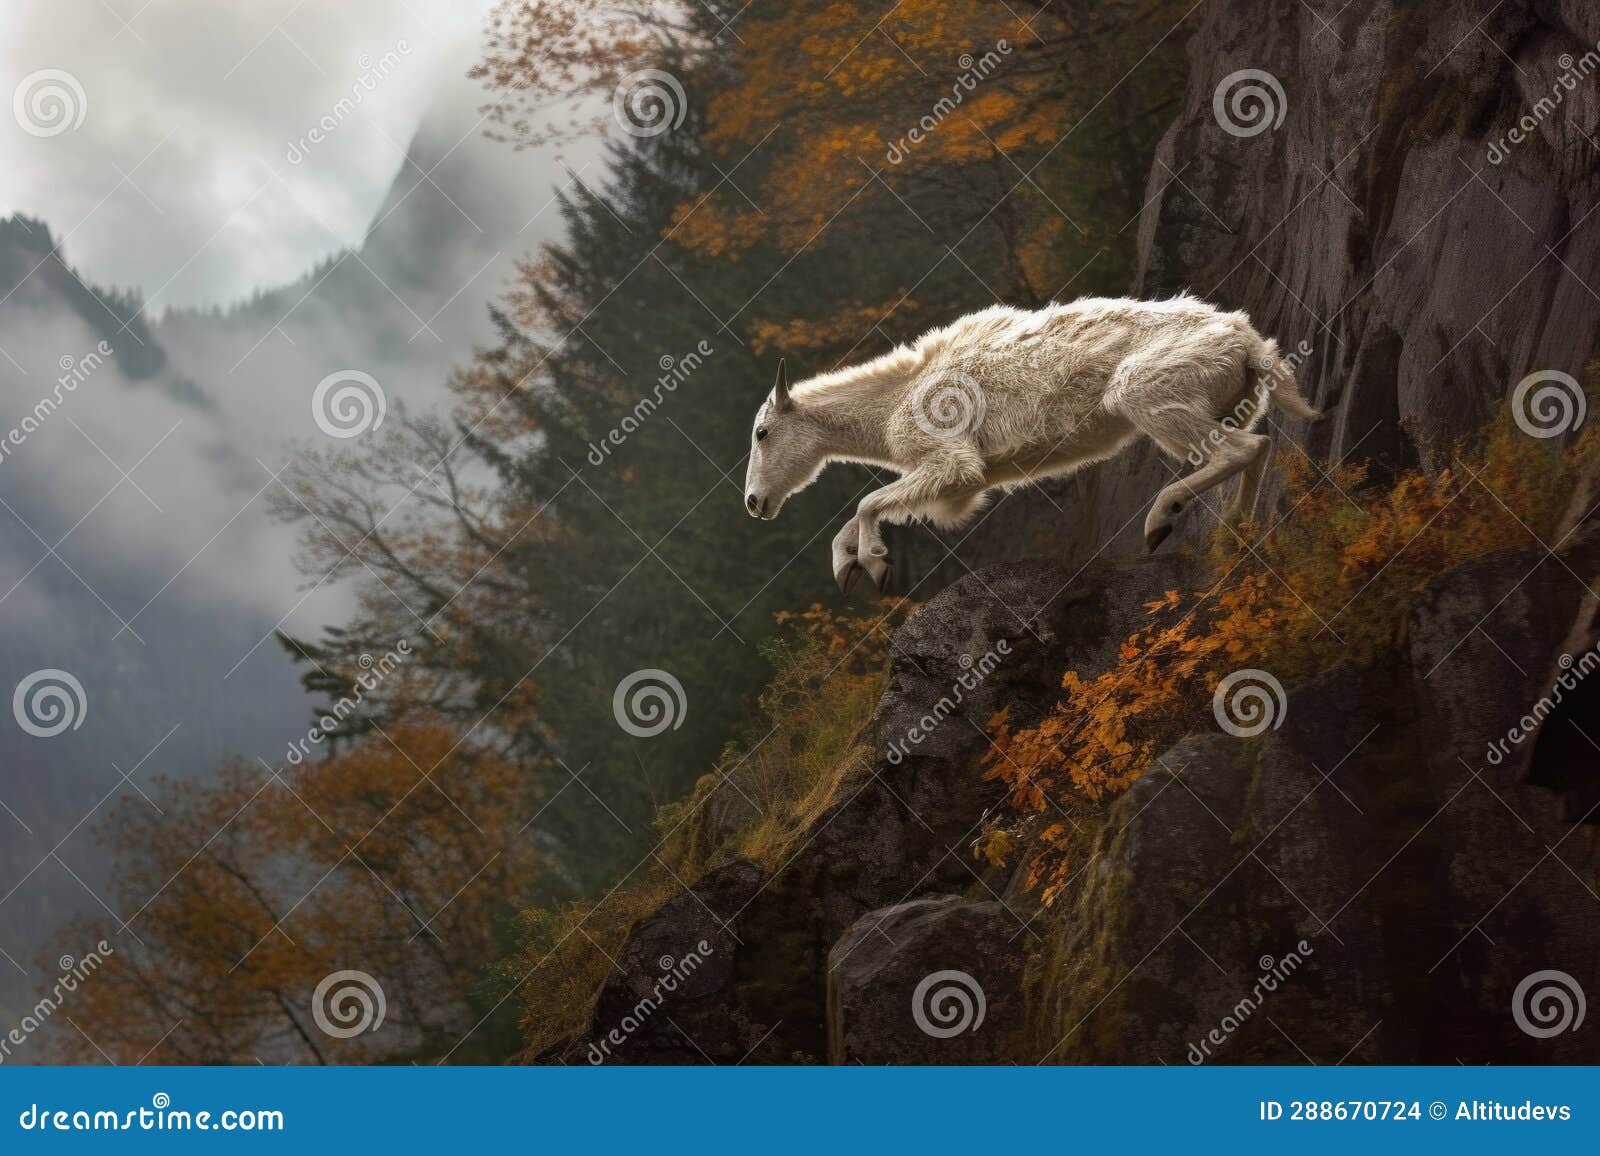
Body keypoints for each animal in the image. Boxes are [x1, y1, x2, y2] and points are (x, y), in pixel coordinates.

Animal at [743, 295, 1320, 594]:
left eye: (762, 432)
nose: (754, 502)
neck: (891, 403)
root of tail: (1249, 344)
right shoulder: (959, 487)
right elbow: (886, 504)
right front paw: (846, 565)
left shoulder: (950, 459)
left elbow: (870, 500)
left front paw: (875, 562)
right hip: (1227, 400)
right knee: (1255, 446)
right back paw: (1237, 532)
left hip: (1153, 390)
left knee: (1239, 449)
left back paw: (1163, 520)